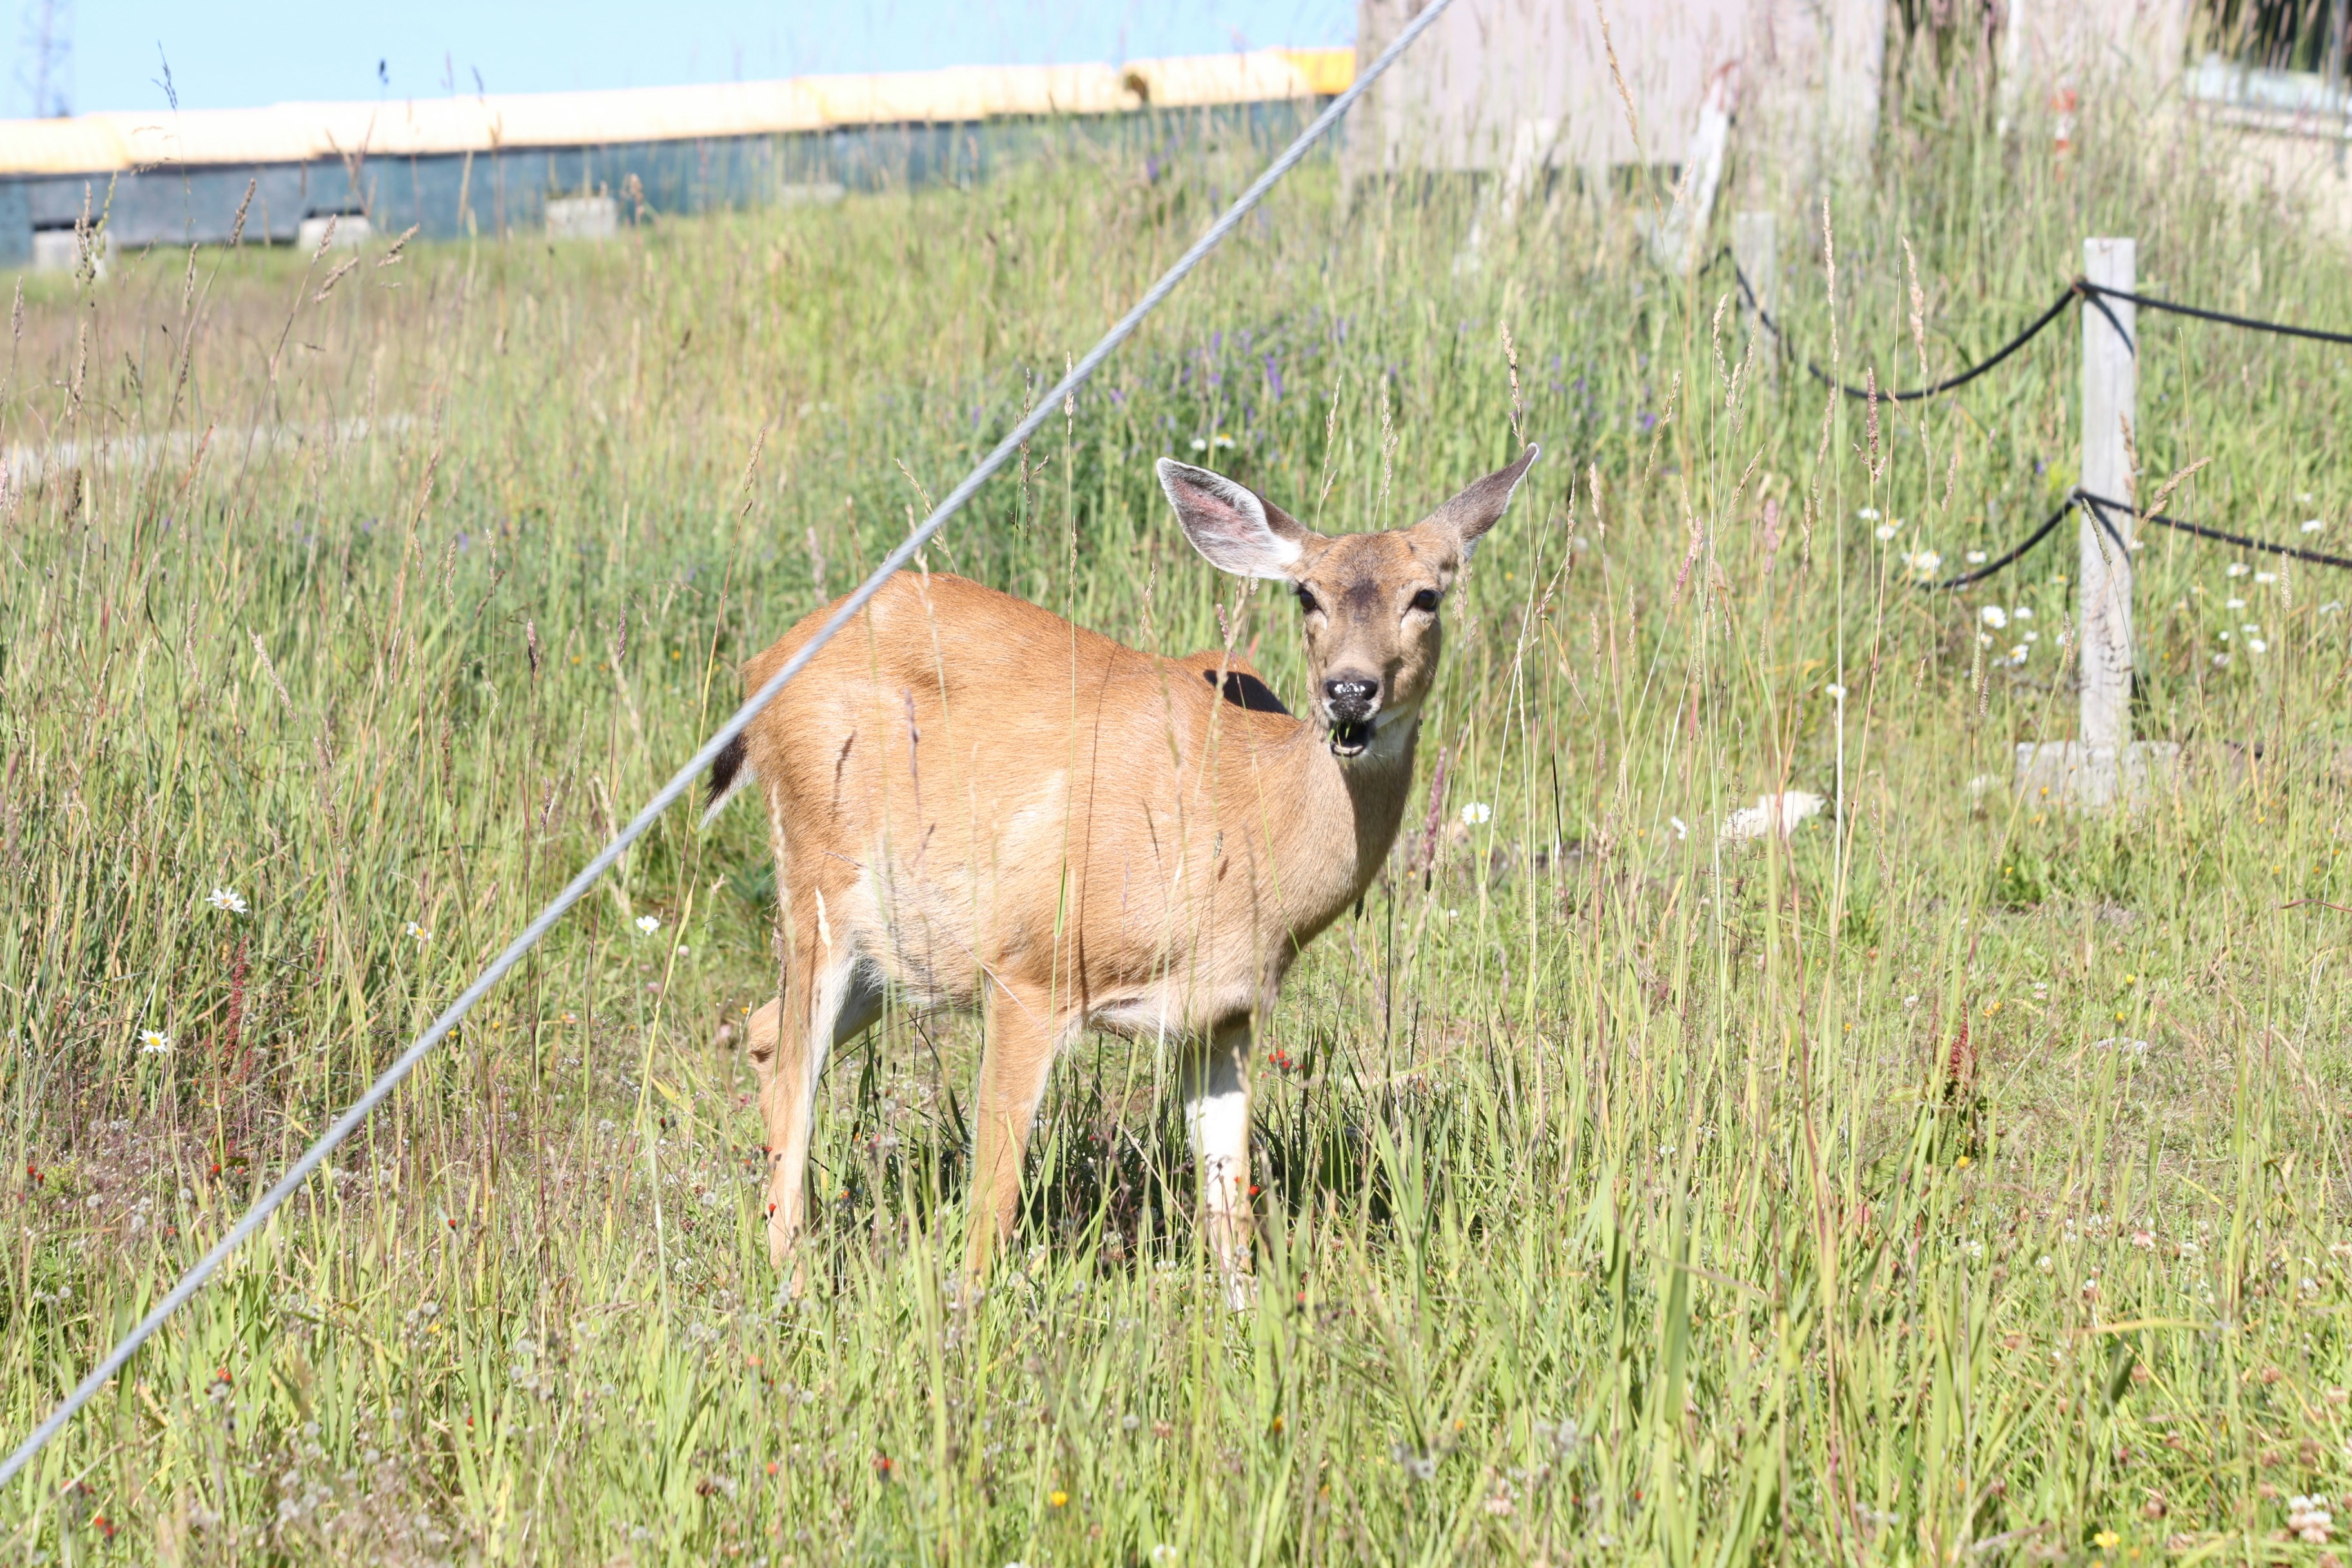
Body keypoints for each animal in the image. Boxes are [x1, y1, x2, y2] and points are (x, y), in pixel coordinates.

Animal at [708, 443, 1539, 1299]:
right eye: (1306, 593)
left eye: (1427, 595)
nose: (1349, 691)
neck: (1243, 813)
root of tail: (759, 669)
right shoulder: (1030, 966)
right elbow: (992, 1198)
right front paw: (969, 1312)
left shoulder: (1224, 1014)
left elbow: (1228, 1200)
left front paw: (1249, 1315)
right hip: (819, 877)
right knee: (793, 1076)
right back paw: (792, 1281)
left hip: (899, 946)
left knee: (765, 1032)